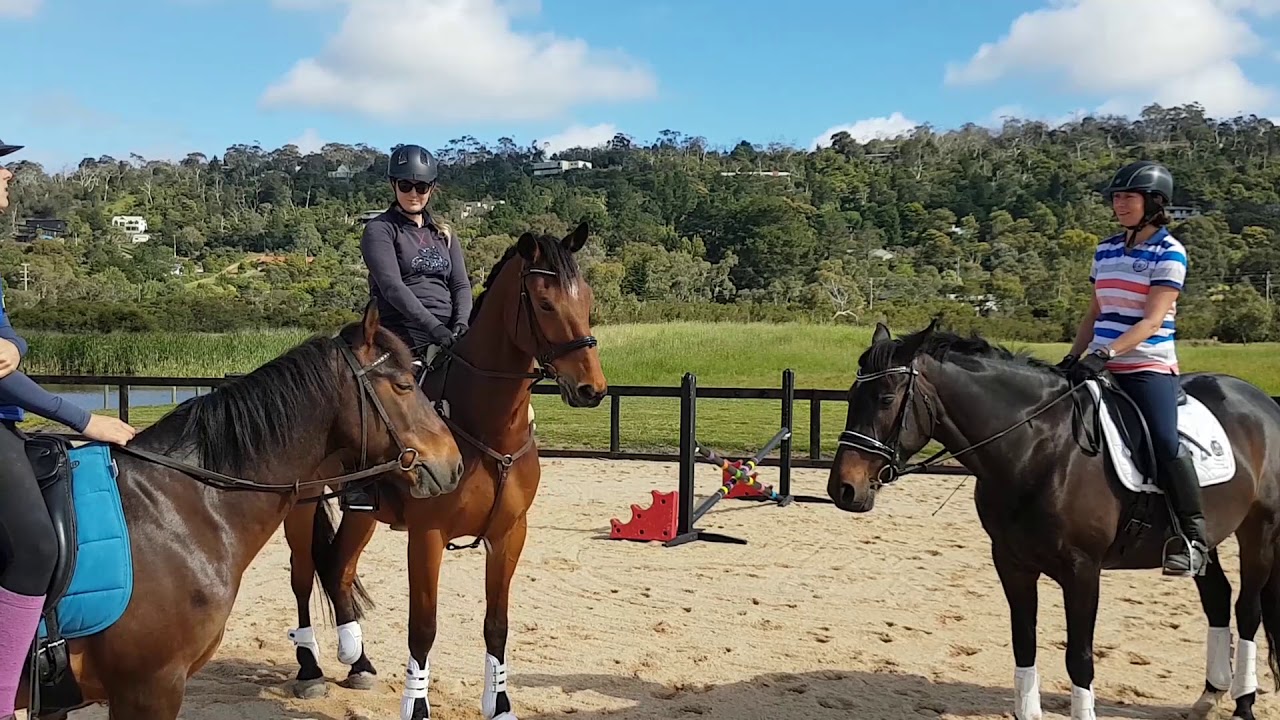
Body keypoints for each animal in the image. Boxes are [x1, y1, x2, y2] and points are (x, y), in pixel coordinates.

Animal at [280, 221, 607, 720]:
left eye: (586, 298)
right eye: (545, 302)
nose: (592, 389)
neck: (487, 429)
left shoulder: (509, 534)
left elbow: (497, 624)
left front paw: (500, 703)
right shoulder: (427, 536)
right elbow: (424, 627)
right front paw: (416, 705)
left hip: (360, 514)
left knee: (337, 568)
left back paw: (358, 662)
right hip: (301, 506)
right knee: (303, 574)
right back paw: (310, 669)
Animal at [826, 318, 1280, 720]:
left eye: (886, 399)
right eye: (850, 395)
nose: (843, 489)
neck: (1039, 449)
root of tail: (1261, 401)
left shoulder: (1082, 570)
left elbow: (1079, 657)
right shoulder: (1011, 564)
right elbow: (1023, 643)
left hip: (1260, 529)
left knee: (1248, 610)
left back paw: (1244, 702)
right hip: (1206, 539)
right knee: (1218, 597)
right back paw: (1209, 698)